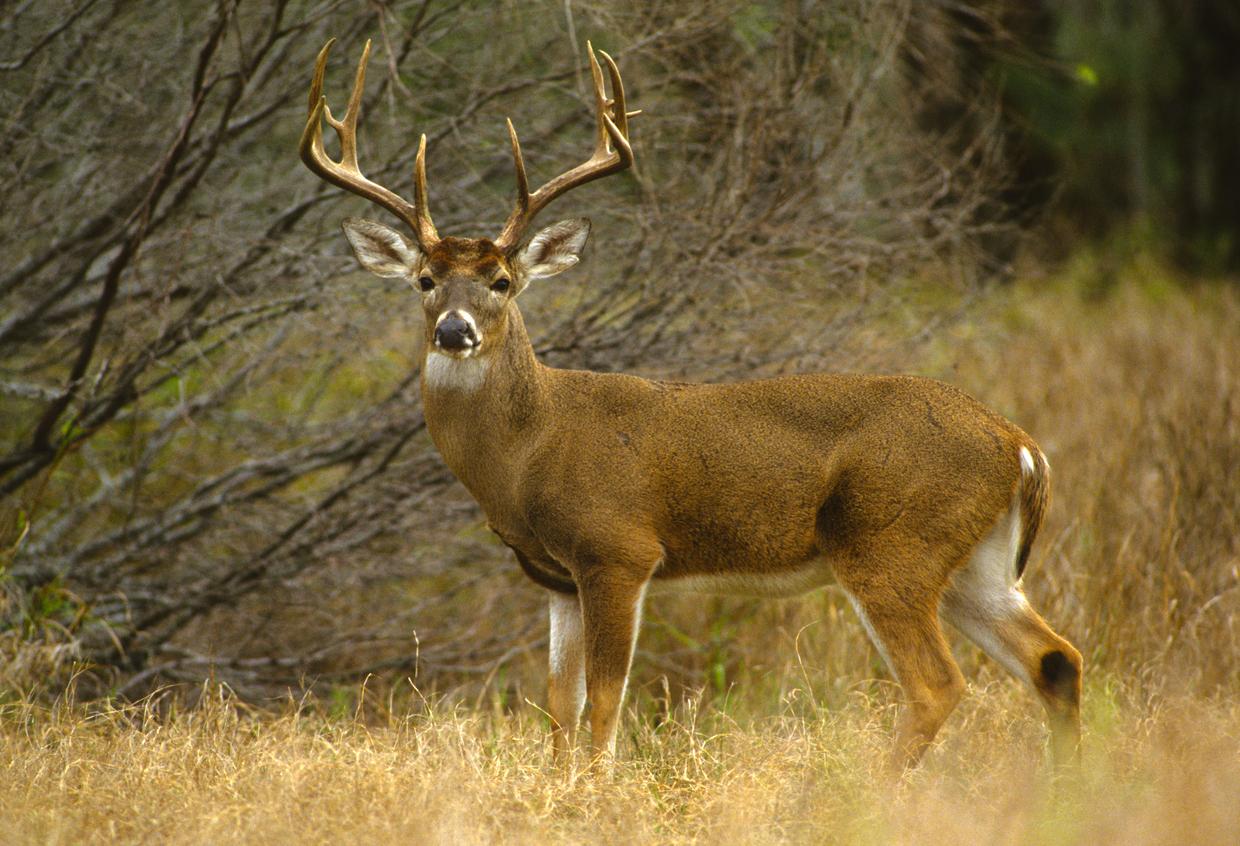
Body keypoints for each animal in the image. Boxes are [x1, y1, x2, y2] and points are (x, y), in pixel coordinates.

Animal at [299, 38, 1082, 772]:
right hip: (975, 562)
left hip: (890, 542)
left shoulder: (618, 549)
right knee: (1055, 659)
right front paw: (561, 790)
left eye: (501, 281)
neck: (531, 447)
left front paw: (597, 793)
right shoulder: (555, 578)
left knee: (938, 683)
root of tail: (1020, 445)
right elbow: (557, 705)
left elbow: (605, 703)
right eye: (426, 279)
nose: (453, 331)